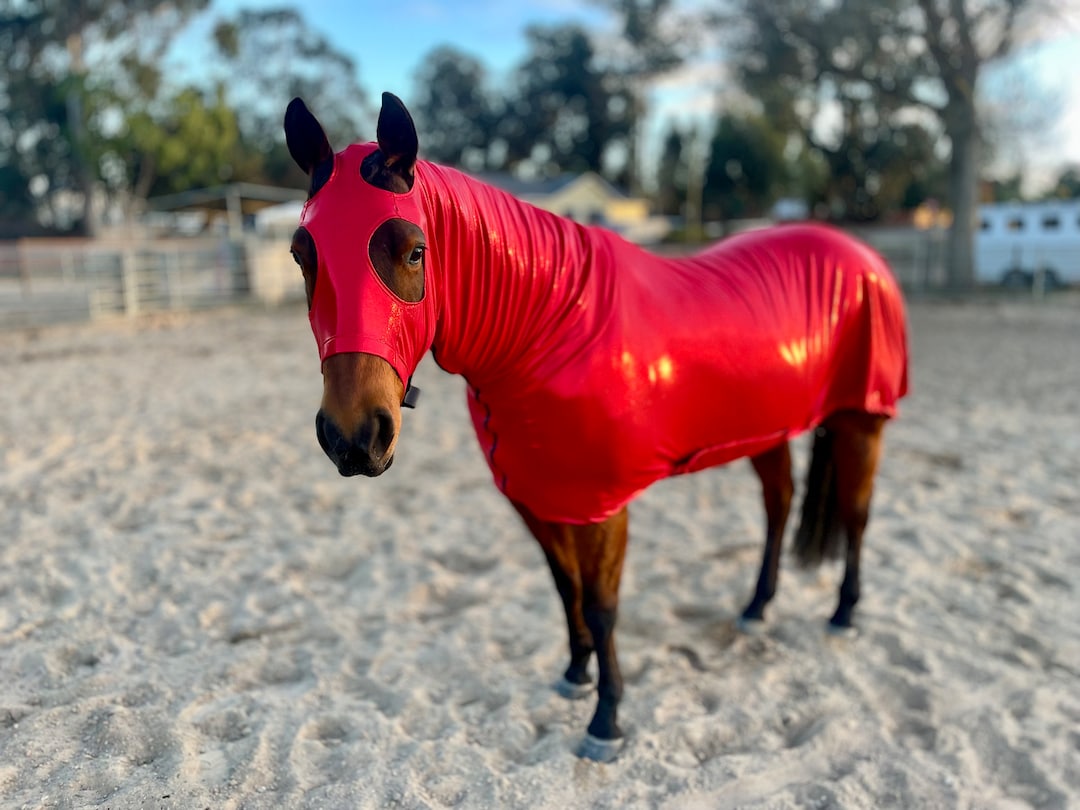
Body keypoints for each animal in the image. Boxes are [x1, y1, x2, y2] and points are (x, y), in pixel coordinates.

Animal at [282, 92, 909, 762]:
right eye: (301, 255)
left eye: (414, 251)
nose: (354, 437)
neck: (549, 328)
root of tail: (861, 255)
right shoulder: (538, 496)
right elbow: (567, 589)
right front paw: (574, 675)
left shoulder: (602, 507)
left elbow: (604, 604)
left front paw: (606, 722)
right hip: (766, 432)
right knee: (779, 504)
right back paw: (756, 608)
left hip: (861, 421)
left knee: (855, 515)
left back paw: (843, 614)